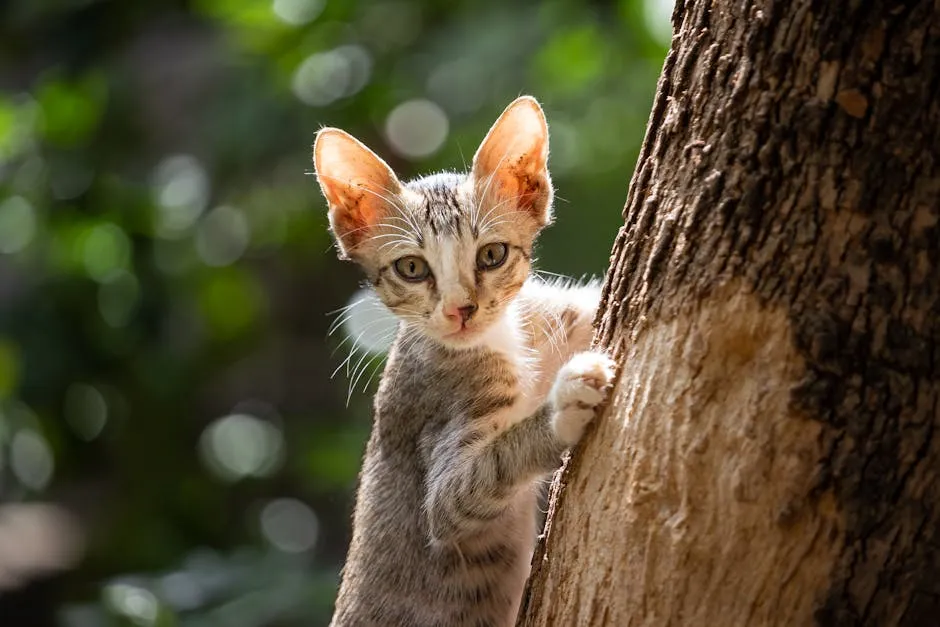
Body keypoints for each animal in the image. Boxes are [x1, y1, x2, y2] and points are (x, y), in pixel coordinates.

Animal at [316, 97, 616, 627]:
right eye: (411, 268)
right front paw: (563, 408)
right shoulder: (439, 445)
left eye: (492, 254)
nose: (462, 309)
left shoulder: (549, 314)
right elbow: (479, 476)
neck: (507, 341)